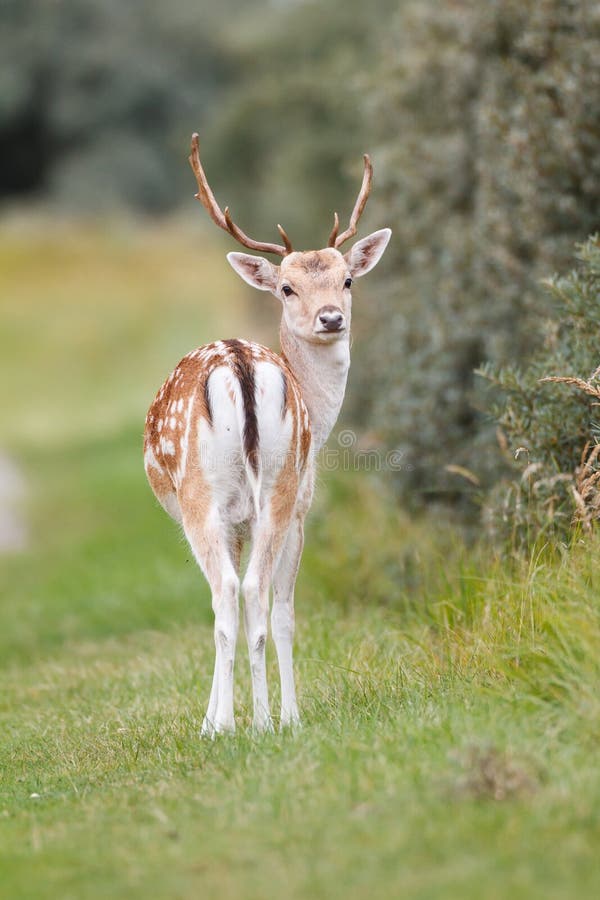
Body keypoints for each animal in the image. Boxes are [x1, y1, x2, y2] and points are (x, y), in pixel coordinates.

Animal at [144, 134, 391, 736]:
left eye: (347, 279)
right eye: (286, 287)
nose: (331, 317)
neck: (320, 422)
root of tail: (240, 365)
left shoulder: (291, 508)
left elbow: (268, 611)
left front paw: (241, 719)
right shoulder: (283, 509)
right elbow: (274, 611)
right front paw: (277, 715)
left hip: (219, 495)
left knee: (235, 593)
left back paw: (243, 724)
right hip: (266, 490)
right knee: (243, 593)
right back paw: (251, 720)